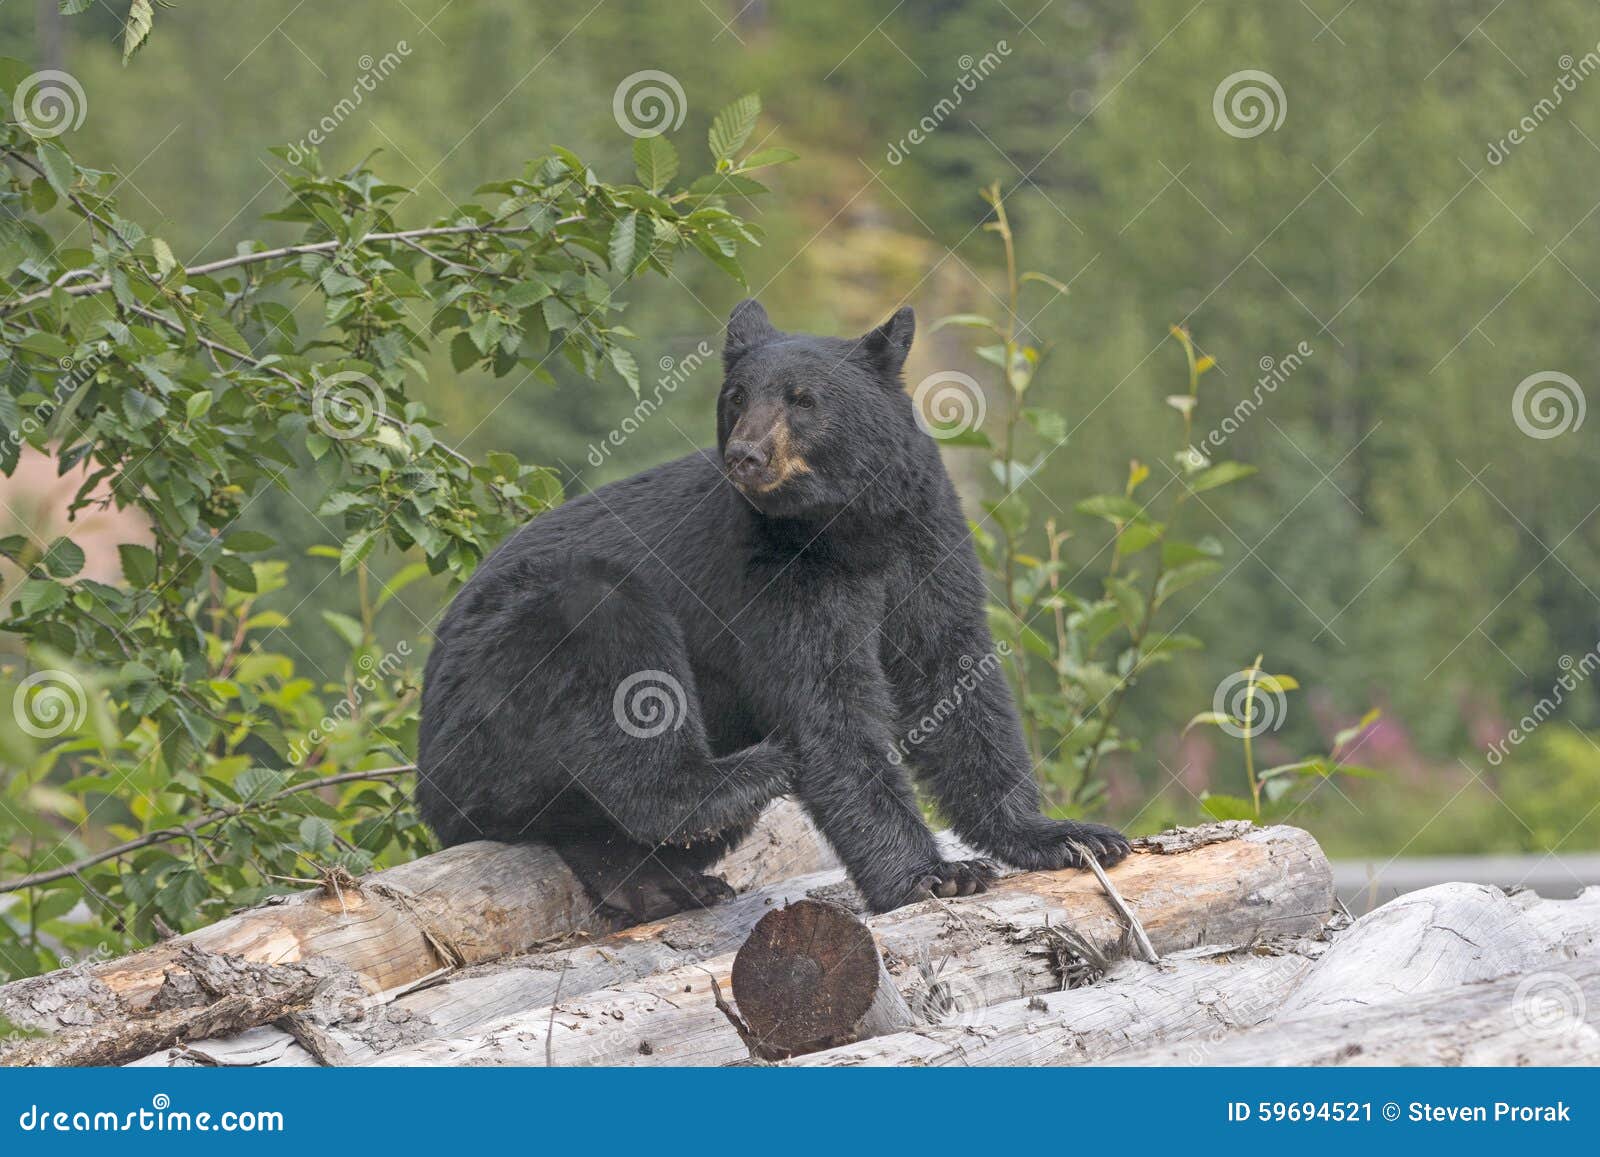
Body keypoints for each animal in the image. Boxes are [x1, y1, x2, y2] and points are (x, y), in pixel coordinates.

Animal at [415, 298, 1129, 921]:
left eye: (803, 399)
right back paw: (752, 769)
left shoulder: (925, 540)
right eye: (736, 397)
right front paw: (932, 873)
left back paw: (654, 886)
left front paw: (1065, 835)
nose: (746, 455)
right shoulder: (774, 574)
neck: (848, 530)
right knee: (612, 644)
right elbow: (826, 701)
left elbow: (953, 674)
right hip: (502, 678)